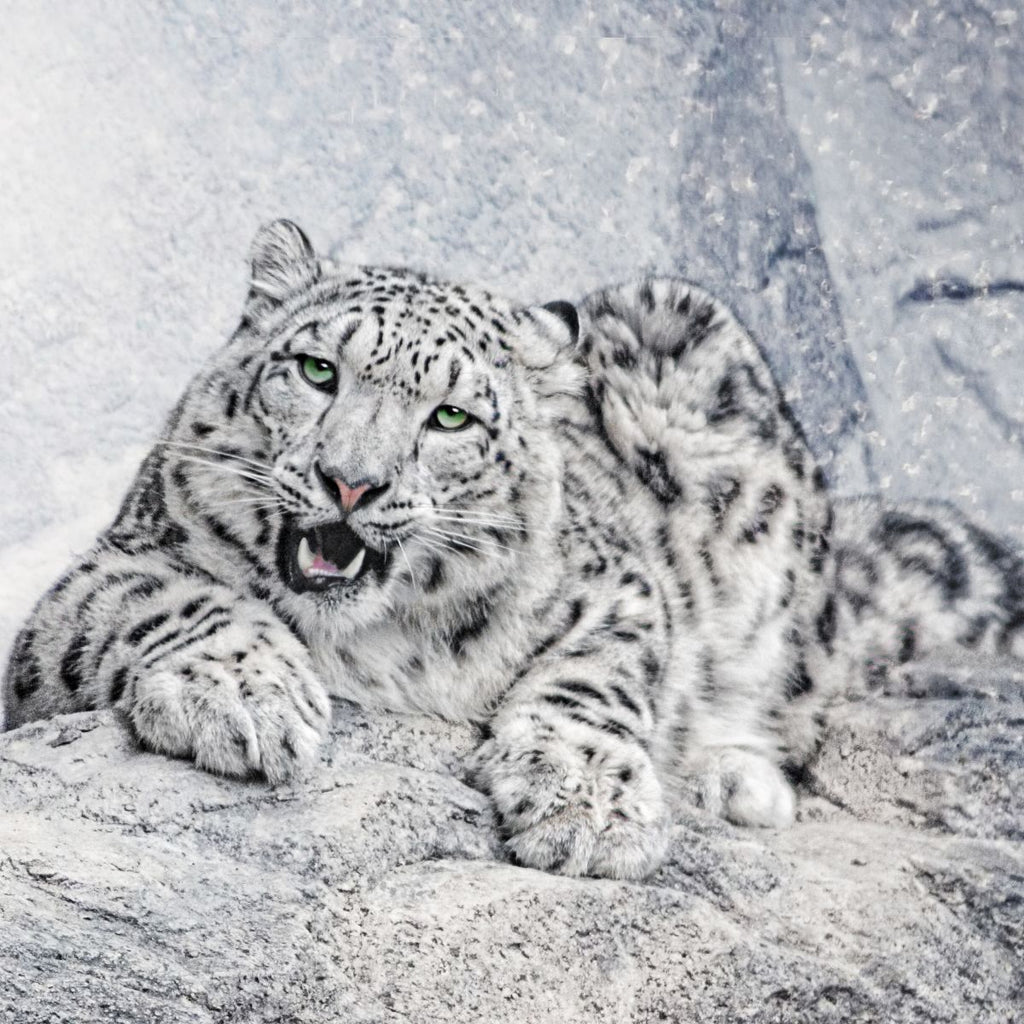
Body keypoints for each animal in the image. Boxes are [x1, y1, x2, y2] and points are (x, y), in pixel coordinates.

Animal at [6, 220, 1023, 879]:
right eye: (317, 370)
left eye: (450, 417)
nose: (350, 482)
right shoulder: (104, 571)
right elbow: (180, 599)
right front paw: (242, 700)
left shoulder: (619, 585)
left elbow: (599, 676)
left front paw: (588, 806)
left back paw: (733, 780)